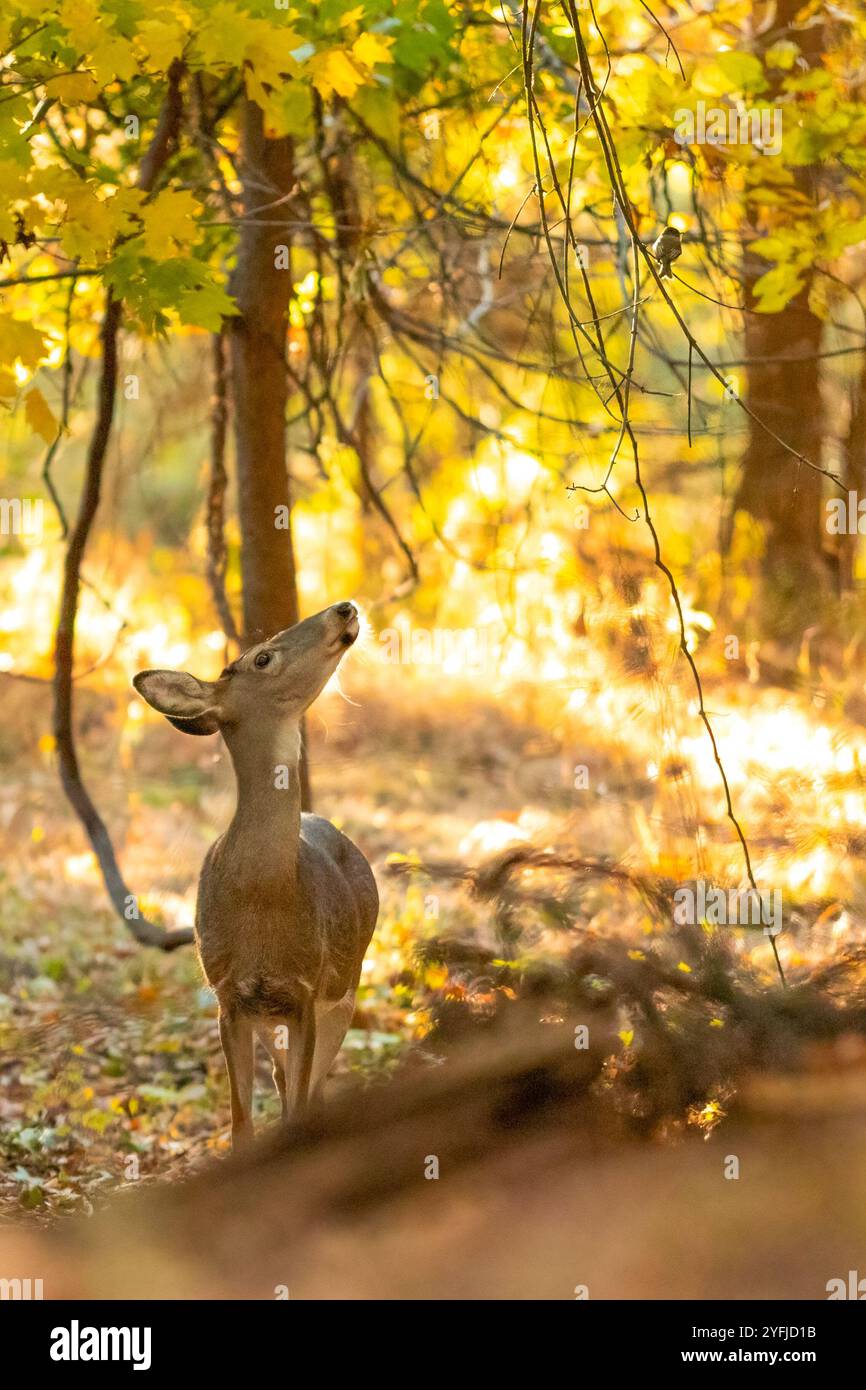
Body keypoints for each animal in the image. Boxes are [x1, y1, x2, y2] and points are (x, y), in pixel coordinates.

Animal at [133, 601, 378, 1150]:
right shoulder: (231, 998)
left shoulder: (305, 990)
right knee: (288, 1081)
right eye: (262, 658)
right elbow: (241, 1123)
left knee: (309, 1088)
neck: (261, 894)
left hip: (345, 986)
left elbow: (294, 1107)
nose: (344, 608)